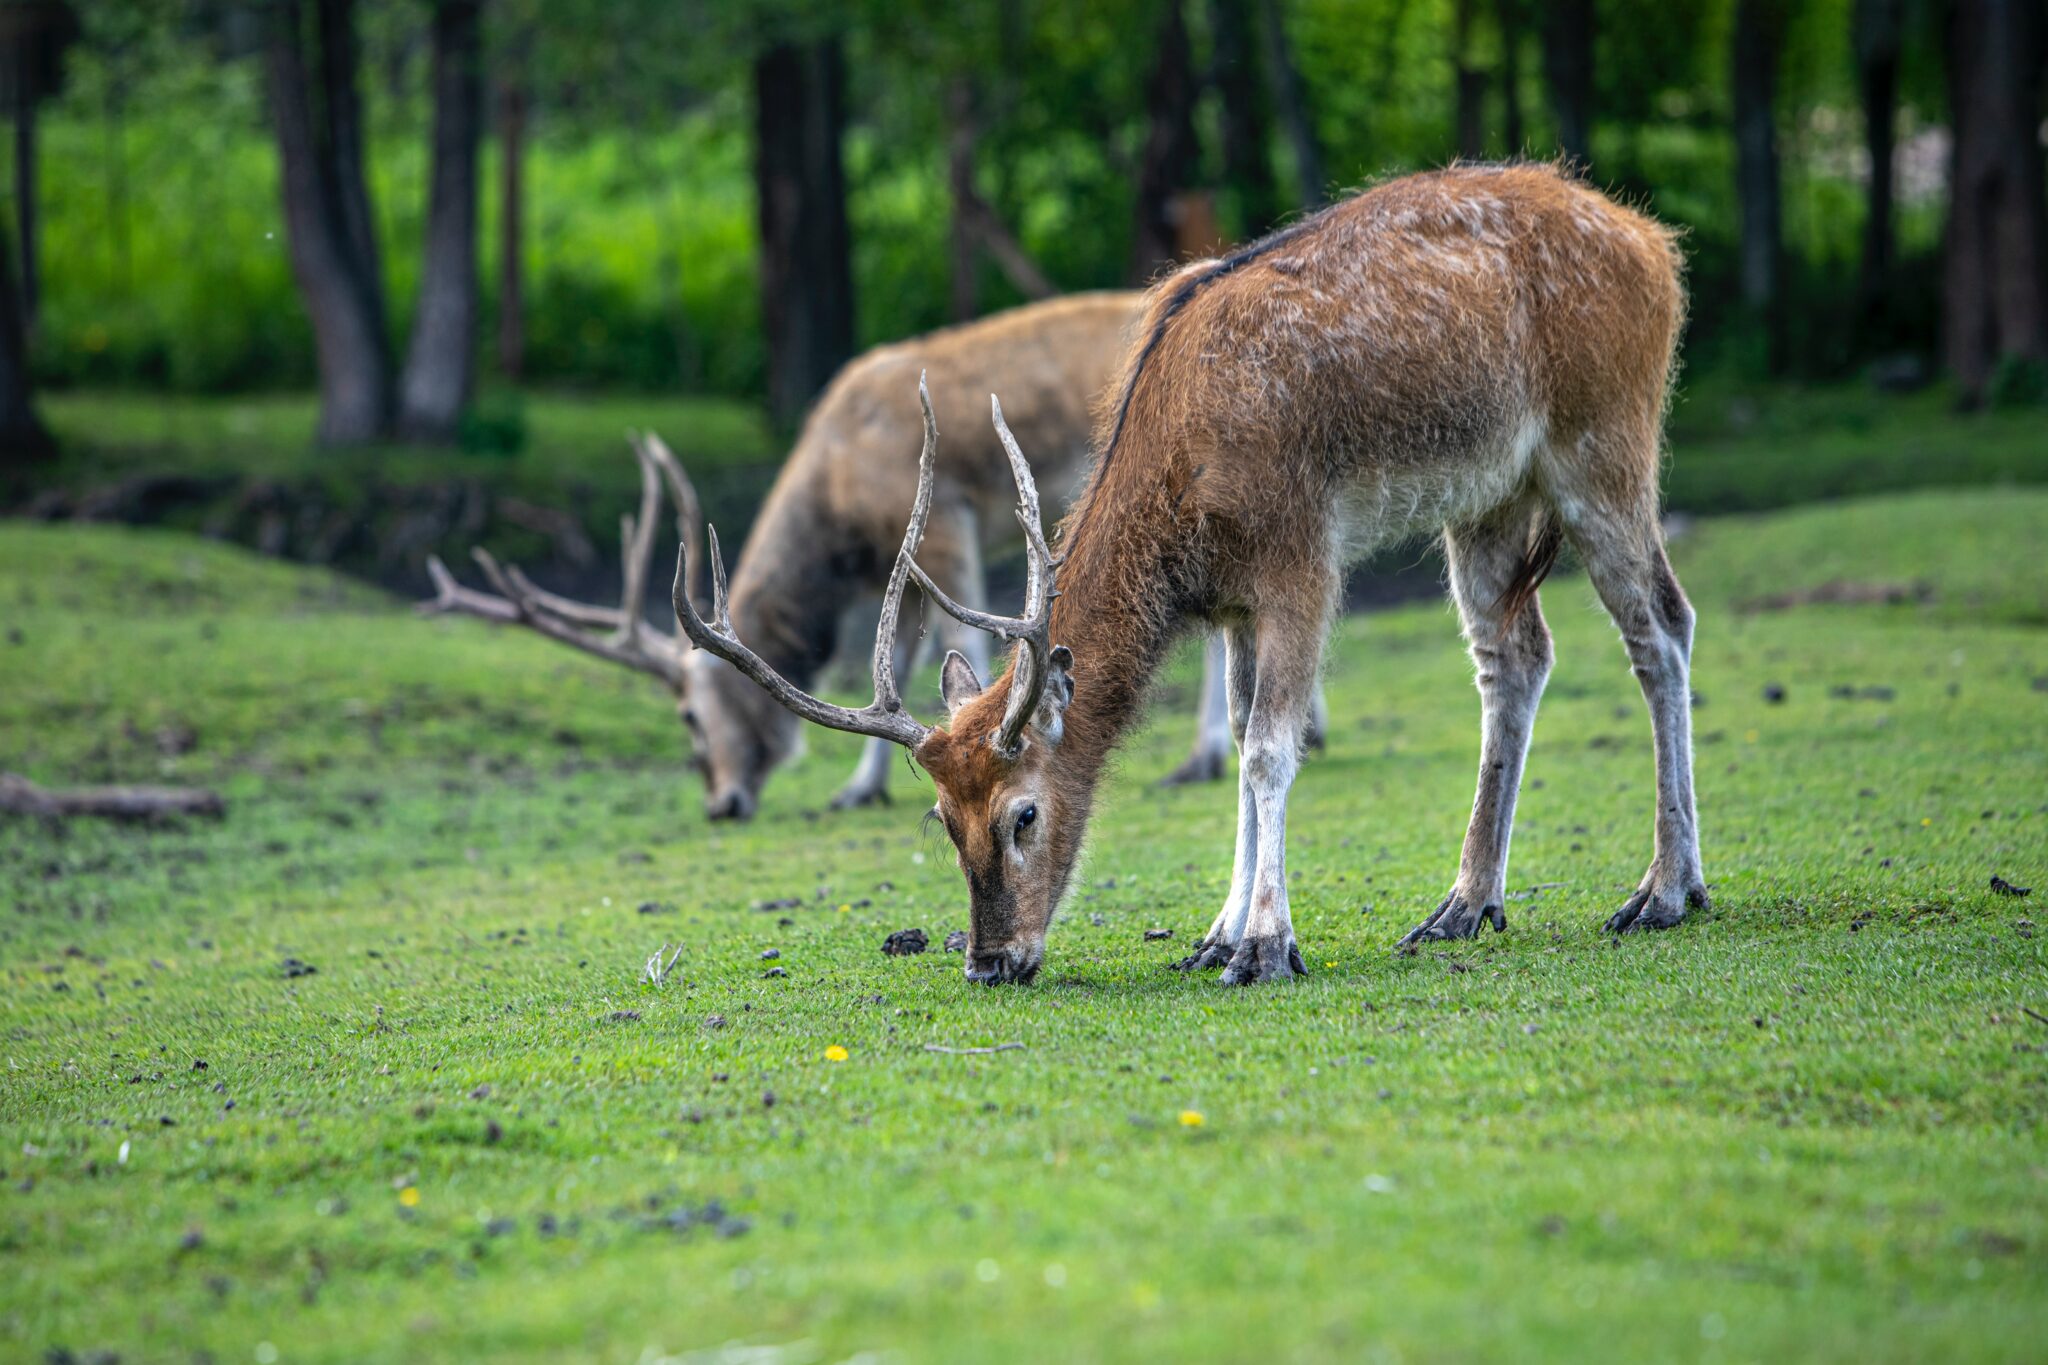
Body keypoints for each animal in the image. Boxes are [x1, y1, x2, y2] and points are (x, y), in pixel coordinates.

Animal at [423, 292, 1322, 819]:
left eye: (687, 715)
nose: (720, 802)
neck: (839, 505)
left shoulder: (945, 519)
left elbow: (957, 643)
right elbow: (894, 659)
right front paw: (860, 785)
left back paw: (1202, 757)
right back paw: (1307, 724)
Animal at [672, 162, 1707, 985]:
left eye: (1023, 814)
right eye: (941, 821)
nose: (991, 962)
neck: (1183, 490)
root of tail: (1657, 245)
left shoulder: (1298, 559)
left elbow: (1270, 748)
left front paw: (1266, 947)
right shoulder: (1235, 599)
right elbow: (1243, 733)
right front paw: (1215, 934)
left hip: (1605, 441)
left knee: (1663, 624)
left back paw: (1666, 890)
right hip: (1489, 497)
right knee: (1515, 658)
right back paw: (1464, 904)